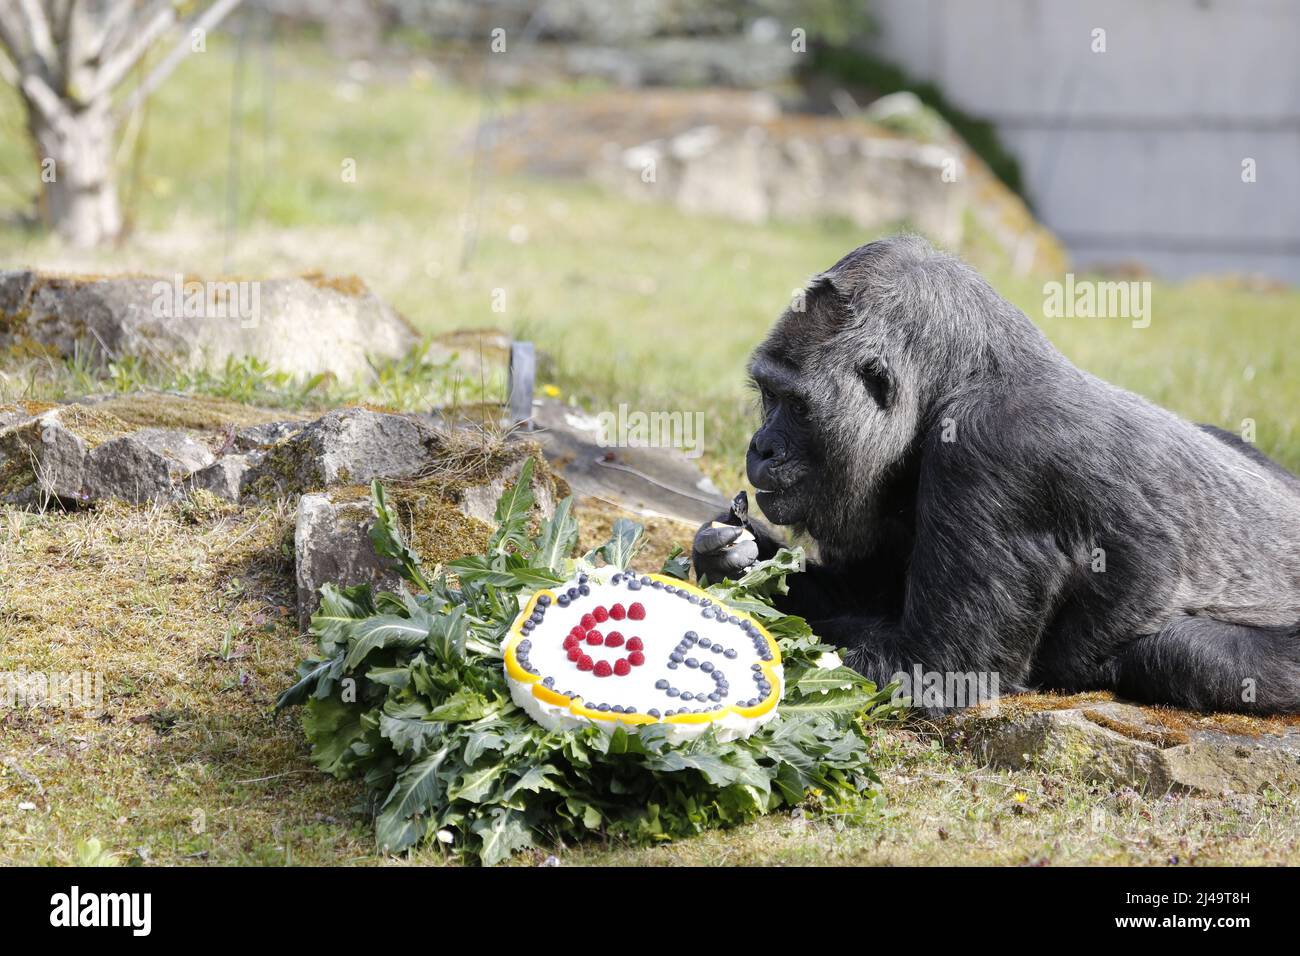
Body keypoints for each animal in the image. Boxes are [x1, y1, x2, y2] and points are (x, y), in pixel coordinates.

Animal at [693, 235, 1300, 713]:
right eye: (768, 395)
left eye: (797, 406)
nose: (761, 447)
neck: (962, 378)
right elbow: (858, 591)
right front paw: (733, 557)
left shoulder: (991, 452)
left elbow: (931, 668)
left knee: (1177, 655)